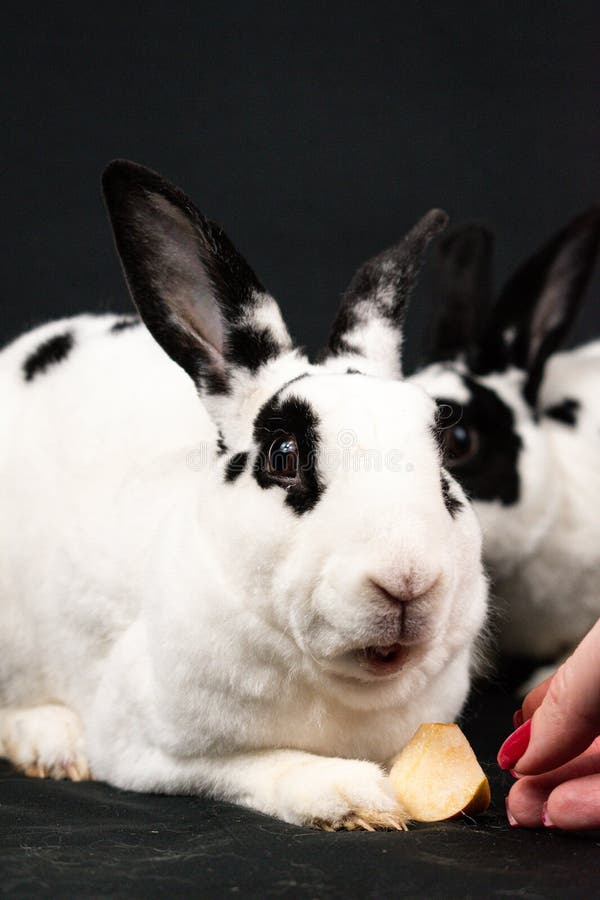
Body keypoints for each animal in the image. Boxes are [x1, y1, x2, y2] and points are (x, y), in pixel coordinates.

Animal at [0, 161, 488, 830]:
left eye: (442, 455)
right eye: (283, 456)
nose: (407, 579)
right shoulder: (150, 749)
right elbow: (264, 764)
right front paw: (353, 798)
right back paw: (51, 743)